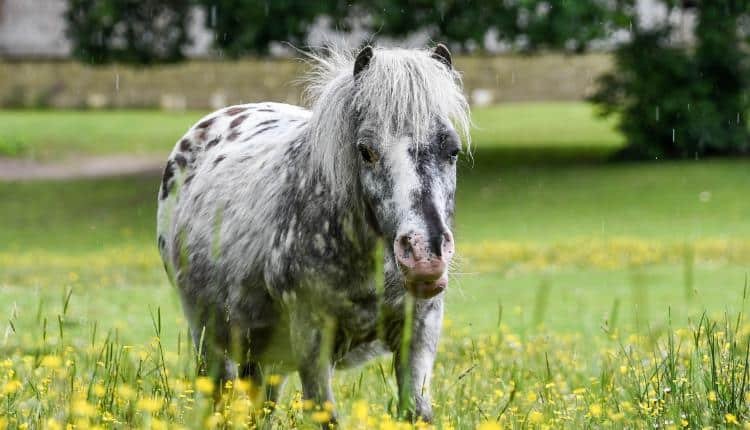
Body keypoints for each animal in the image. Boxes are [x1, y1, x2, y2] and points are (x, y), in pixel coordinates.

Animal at [156, 44, 470, 423]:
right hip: (210, 338)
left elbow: (416, 412)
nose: (424, 257)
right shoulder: (312, 339)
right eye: (366, 150)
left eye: (451, 150)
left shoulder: (420, 332)